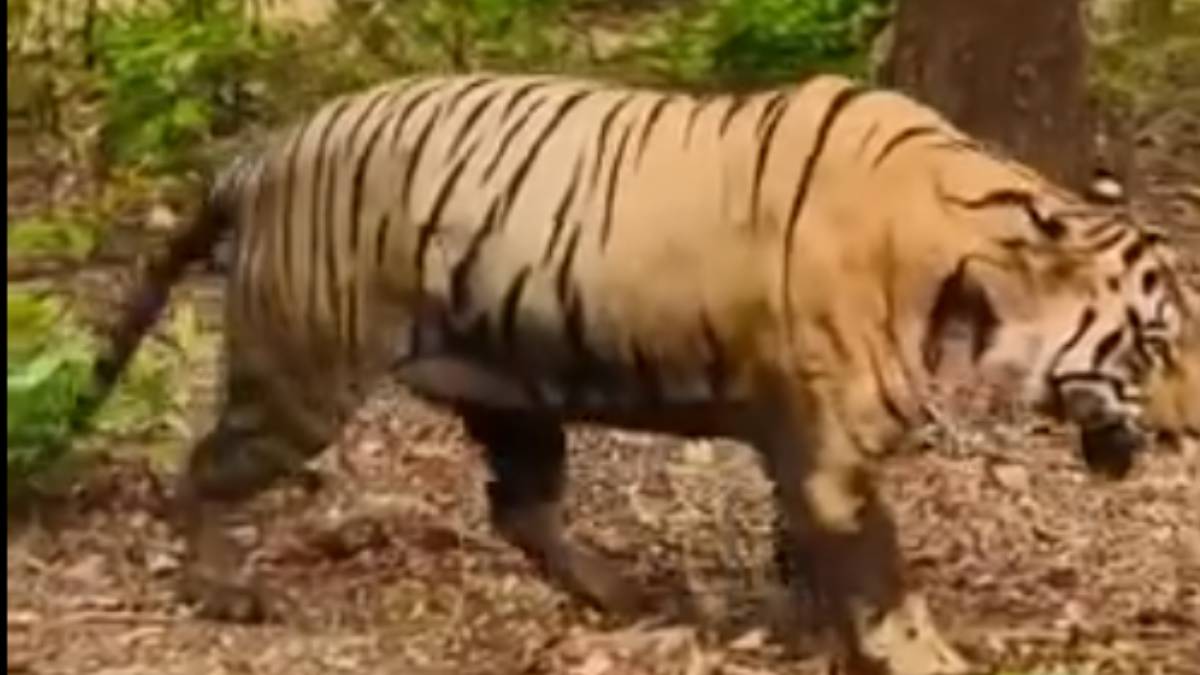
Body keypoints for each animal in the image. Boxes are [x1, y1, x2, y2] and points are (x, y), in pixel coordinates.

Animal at [74, 72, 1197, 675]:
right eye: (1154, 343)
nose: (1191, 430)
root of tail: (260, 156)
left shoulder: (810, 445)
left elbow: (813, 558)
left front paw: (798, 626)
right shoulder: (833, 449)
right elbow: (879, 580)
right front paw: (922, 654)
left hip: (510, 385)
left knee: (520, 507)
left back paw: (637, 595)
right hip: (300, 381)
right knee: (201, 466)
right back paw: (221, 590)